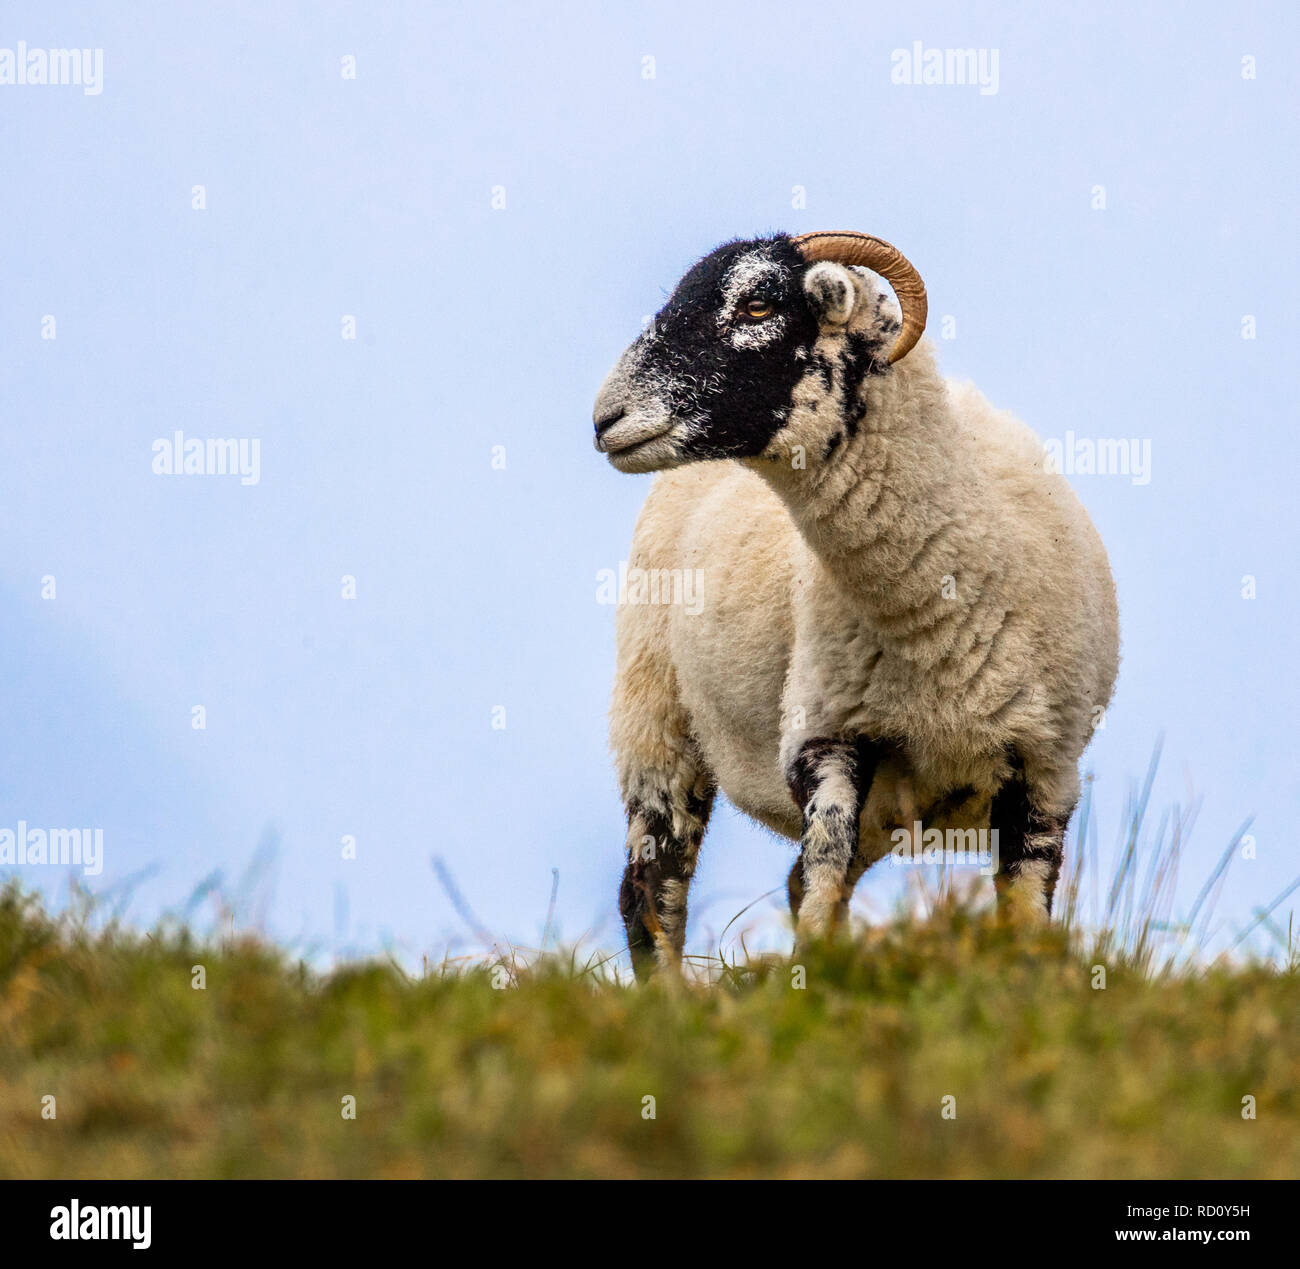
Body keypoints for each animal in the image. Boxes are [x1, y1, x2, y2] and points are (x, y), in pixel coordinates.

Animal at [592, 231, 1119, 980]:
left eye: (757, 304)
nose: (604, 418)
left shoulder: (1047, 770)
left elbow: (1023, 920)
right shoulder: (828, 734)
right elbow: (822, 878)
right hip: (654, 717)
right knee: (651, 889)